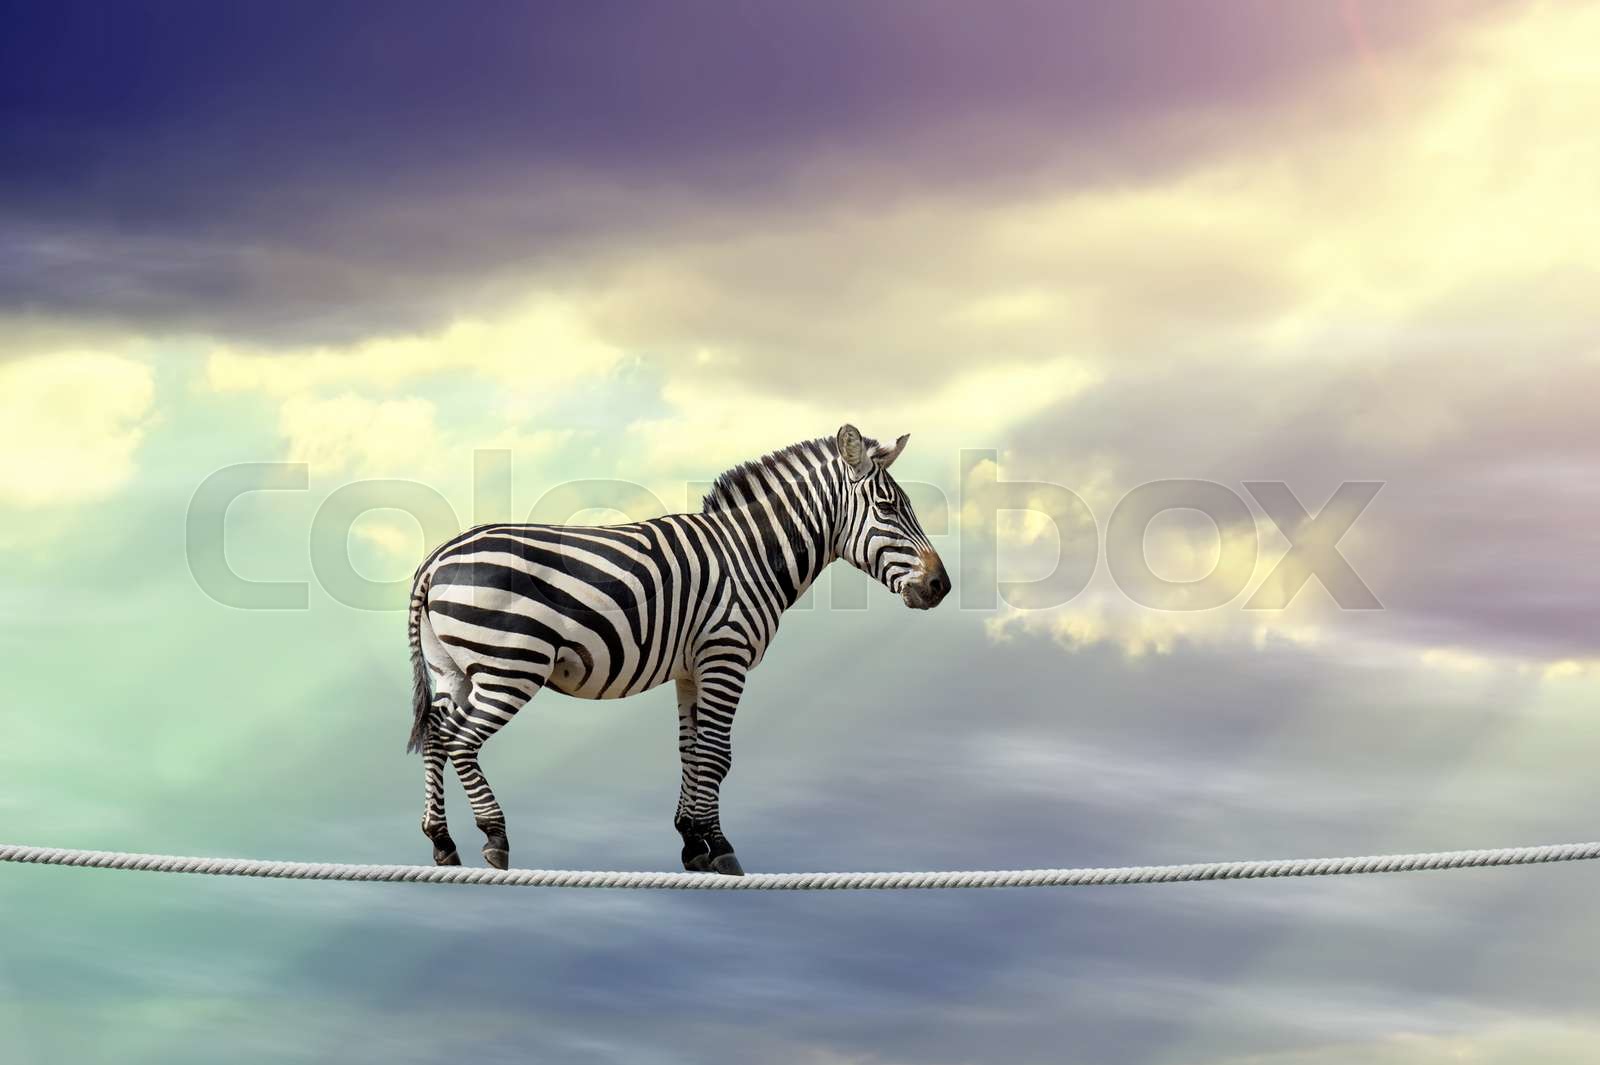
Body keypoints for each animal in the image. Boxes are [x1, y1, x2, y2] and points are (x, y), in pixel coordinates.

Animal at [405, 424, 951, 875]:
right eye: (888, 508)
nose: (940, 586)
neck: (750, 554)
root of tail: (436, 558)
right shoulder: (726, 655)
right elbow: (715, 755)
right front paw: (720, 846)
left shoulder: (693, 668)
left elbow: (692, 752)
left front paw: (692, 842)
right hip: (512, 665)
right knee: (460, 739)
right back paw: (494, 835)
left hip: (455, 670)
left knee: (435, 734)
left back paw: (442, 841)